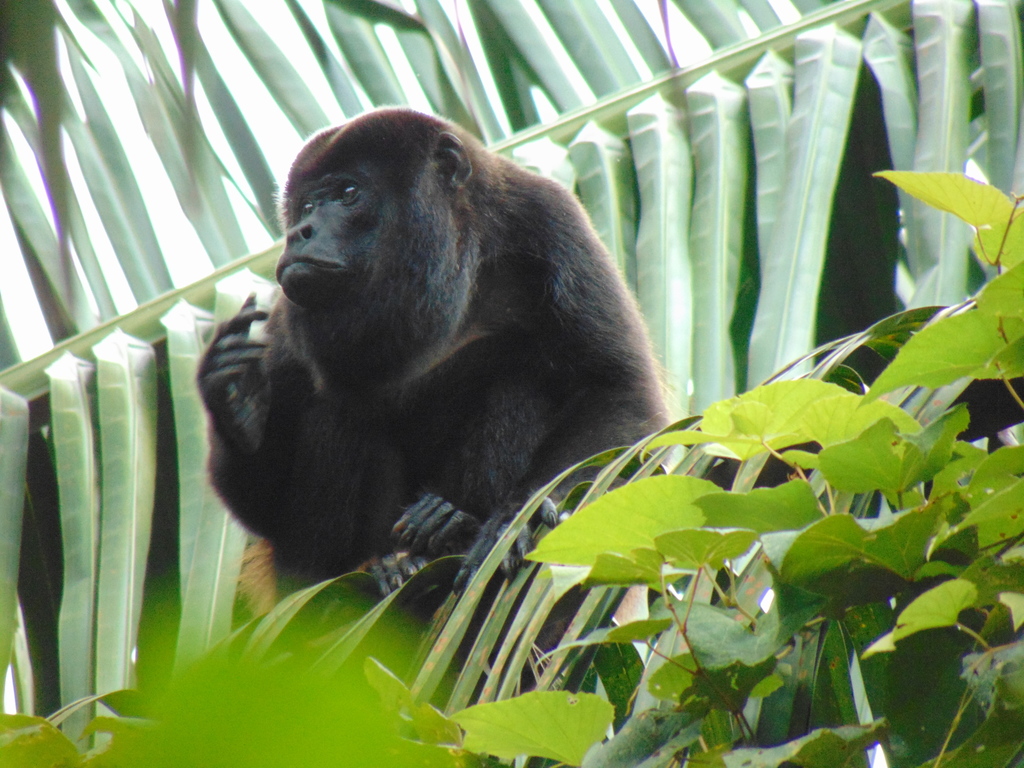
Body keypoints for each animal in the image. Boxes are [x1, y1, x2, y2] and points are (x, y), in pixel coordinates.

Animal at [197, 107, 669, 597]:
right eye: (307, 207)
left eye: (348, 194)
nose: (299, 233)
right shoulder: (284, 319)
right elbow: (266, 511)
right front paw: (237, 401)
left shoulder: (551, 220)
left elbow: (618, 391)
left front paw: (518, 516)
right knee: (340, 412)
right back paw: (386, 565)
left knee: (522, 382)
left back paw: (448, 524)